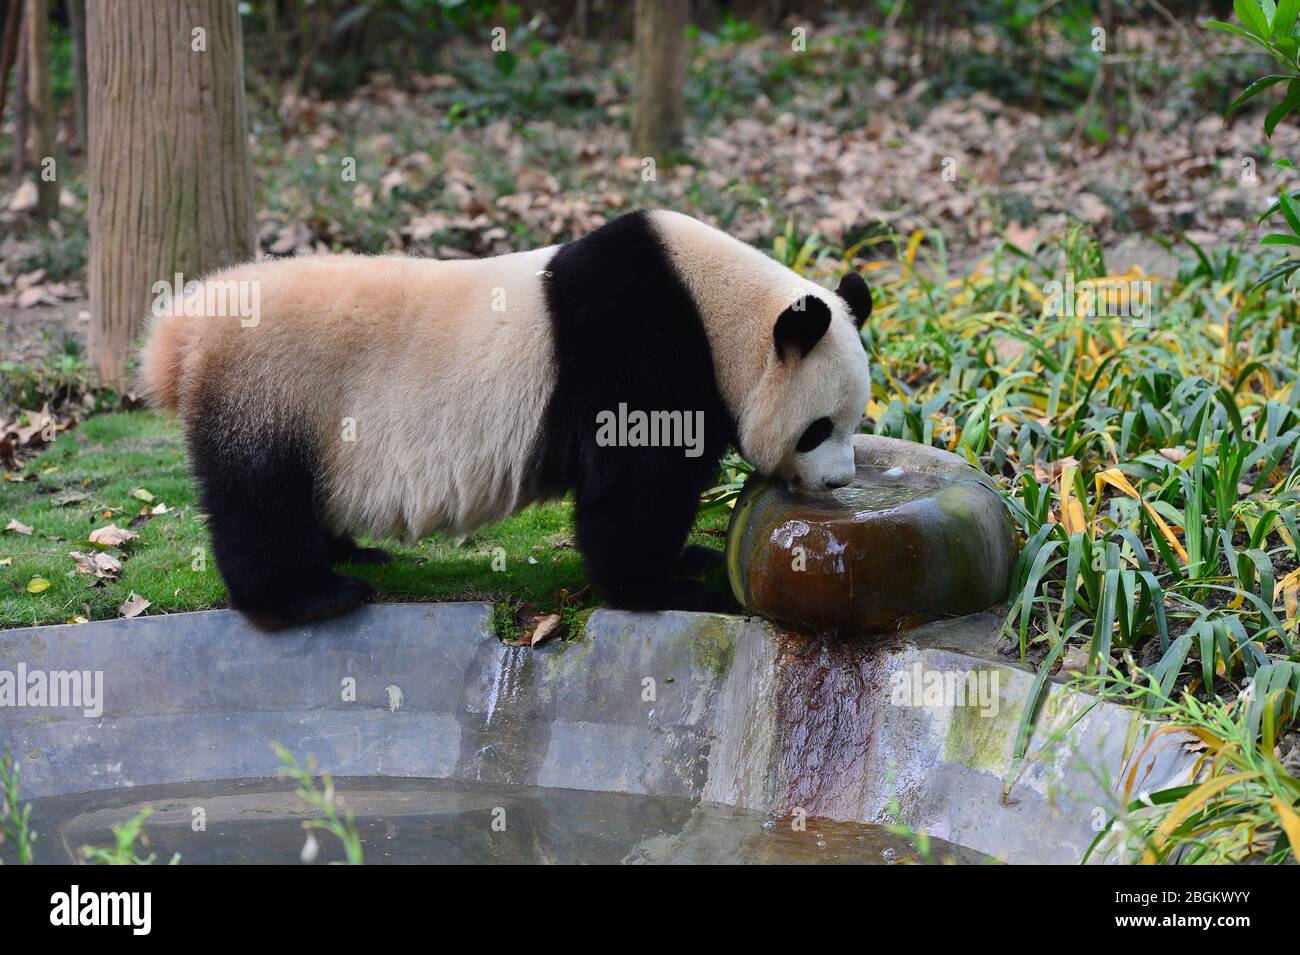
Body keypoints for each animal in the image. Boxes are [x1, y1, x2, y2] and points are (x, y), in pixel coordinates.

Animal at [139, 210, 873, 630]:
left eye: (853, 421)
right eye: (819, 427)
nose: (838, 483)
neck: (720, 311)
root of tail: (184, 332)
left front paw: (687, 558)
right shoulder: (639, 346)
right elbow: (636, 487)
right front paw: (665, 586)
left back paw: (351, 550)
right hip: (273, 389)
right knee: (260, 498)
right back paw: (311, 594)